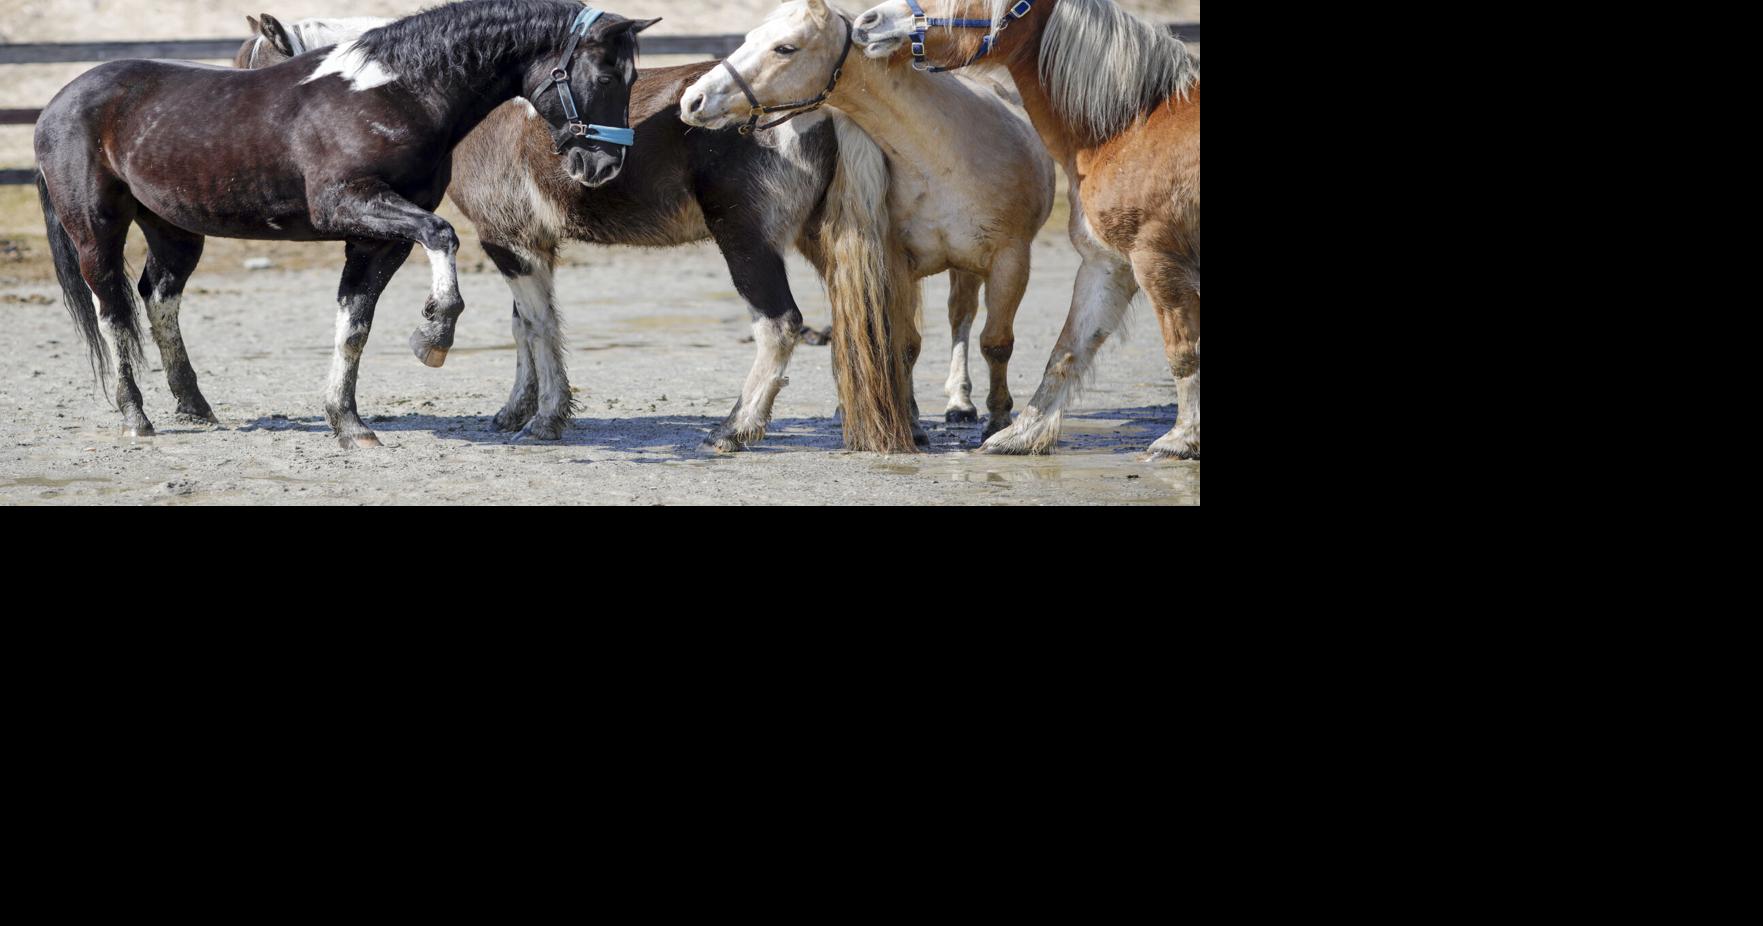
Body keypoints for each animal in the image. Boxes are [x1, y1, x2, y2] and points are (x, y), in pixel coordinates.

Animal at [34, 0, 655, 448]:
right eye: (605, 73)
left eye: (632, 76)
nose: (601, 166)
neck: (394, 94)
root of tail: (57, 103)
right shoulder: (350, 206)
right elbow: (442, 235)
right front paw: (433, 337)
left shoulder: (374, 239)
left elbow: (354, 326)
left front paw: (348, 423)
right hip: (96, 230)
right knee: (113, 311)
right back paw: (136, 417)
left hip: (175, 231)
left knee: (159, 300)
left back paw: (196, 406)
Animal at [244, 15, 921, 452]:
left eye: (254, 69)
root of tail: (819, 107)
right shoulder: (524, 247)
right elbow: (524, 325)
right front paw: (516, 409)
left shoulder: (510, 244)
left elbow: (540, 326)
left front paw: (544, 421)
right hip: (820, 241)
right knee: (875, 320)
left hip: (748, 243)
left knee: (779, 325)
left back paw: (736, 429)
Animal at [682, 0, 1056, 441]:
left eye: (785, 48)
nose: (693, 99)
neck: (945, 151)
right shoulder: (897, 262)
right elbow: (906, 345)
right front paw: (913, 424)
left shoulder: (1010, 259)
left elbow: (996, 343)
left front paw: (998, 421)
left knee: (961, 318)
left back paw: (962, 403)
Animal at [854, 0, 1201, 460]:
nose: (866, 21)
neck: (1131, 126)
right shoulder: (1110, 264)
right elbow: (1068, 350)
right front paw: (1022, 434)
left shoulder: (1156, 259)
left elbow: (1183, 351)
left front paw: (1181, 439)